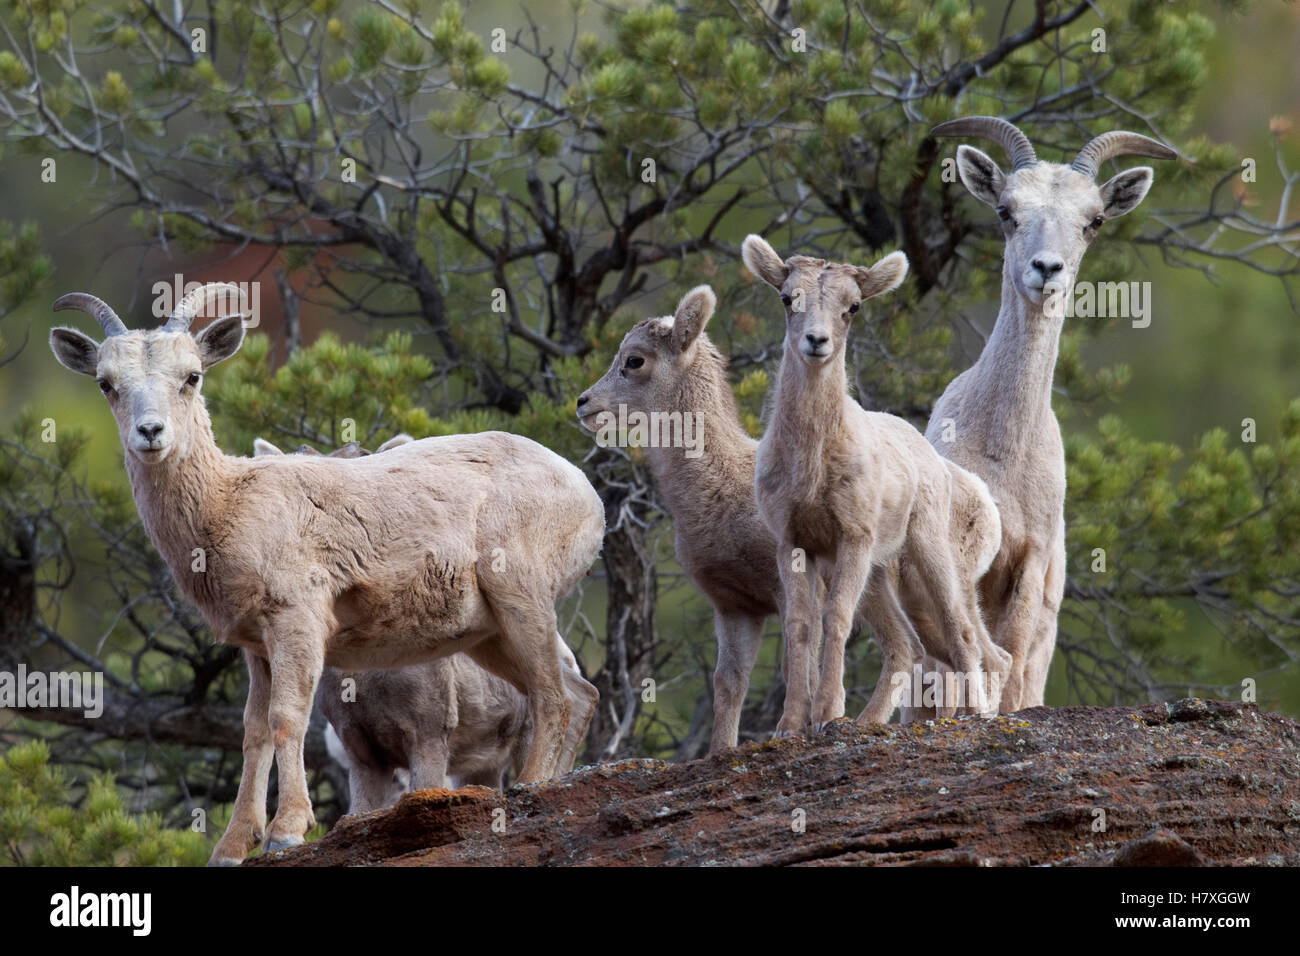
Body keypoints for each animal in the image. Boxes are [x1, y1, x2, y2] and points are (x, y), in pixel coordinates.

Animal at [741, 236, 1012, 732]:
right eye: (788, 298)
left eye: (853, 307)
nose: (816, 341)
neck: (812, 466)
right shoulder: (794, 541)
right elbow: (800, 626)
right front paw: (791, 724)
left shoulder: (854, 536)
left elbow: (836, 618)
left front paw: (828, 715)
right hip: (883, 575)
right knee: (909, 644)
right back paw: (872, 720)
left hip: (928, 550)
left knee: (963, 632)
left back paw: (974, 715)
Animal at [925, 117, 1177, 712]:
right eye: (1006, 210)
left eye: (1094, 221)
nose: (1046, 269)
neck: (1001, 454)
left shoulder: (1030, 562)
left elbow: (1011, 659)